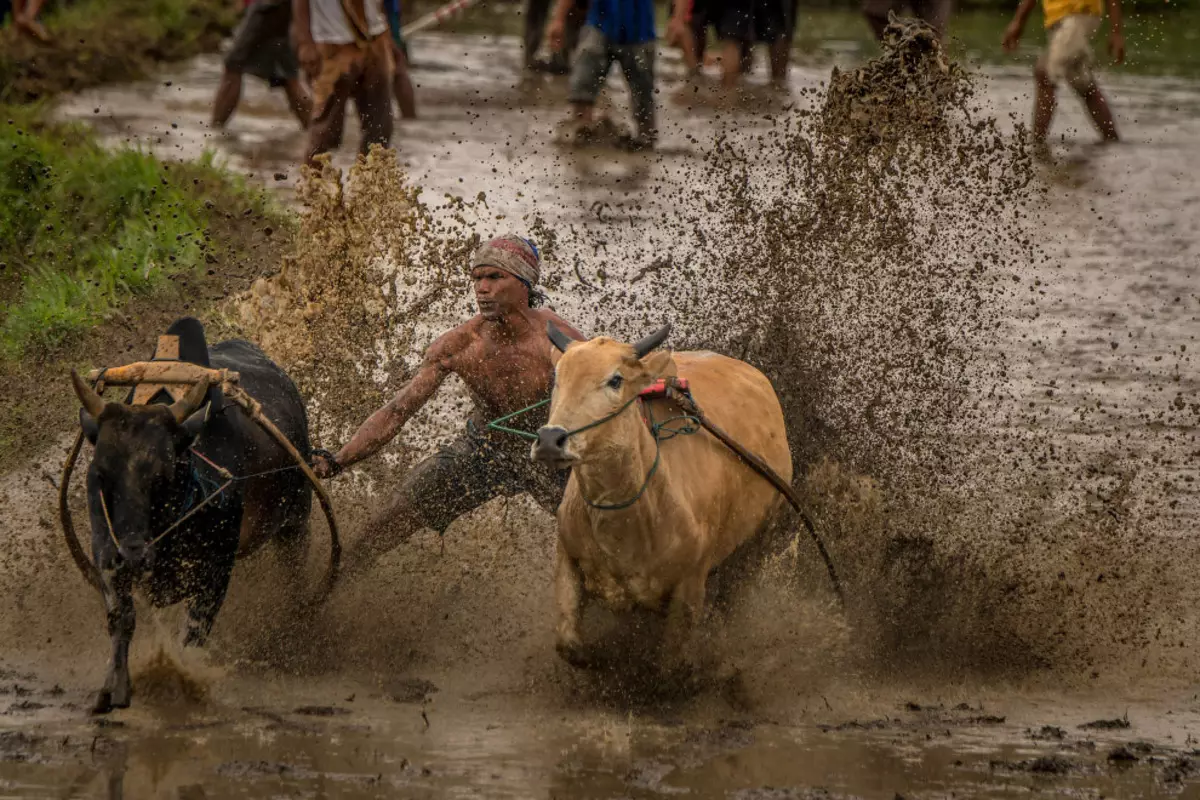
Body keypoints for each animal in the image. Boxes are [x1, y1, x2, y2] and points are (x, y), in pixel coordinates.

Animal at [72, 326, 312, 714]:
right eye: (102, 474)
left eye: (163, 474)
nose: (133, 553)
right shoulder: (105, 553)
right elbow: (121, 619)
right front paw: (112, 689)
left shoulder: (217, 569)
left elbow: (195, 630)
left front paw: (183, 684)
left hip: (296, 522)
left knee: (294, 579)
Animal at [530, 326, 792, 671]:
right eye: (558, 376)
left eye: (615, 380)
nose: (550, 440)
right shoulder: (567, 557)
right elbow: (569, 645)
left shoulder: (690, 584)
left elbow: (670, 663)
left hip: (760, 541)